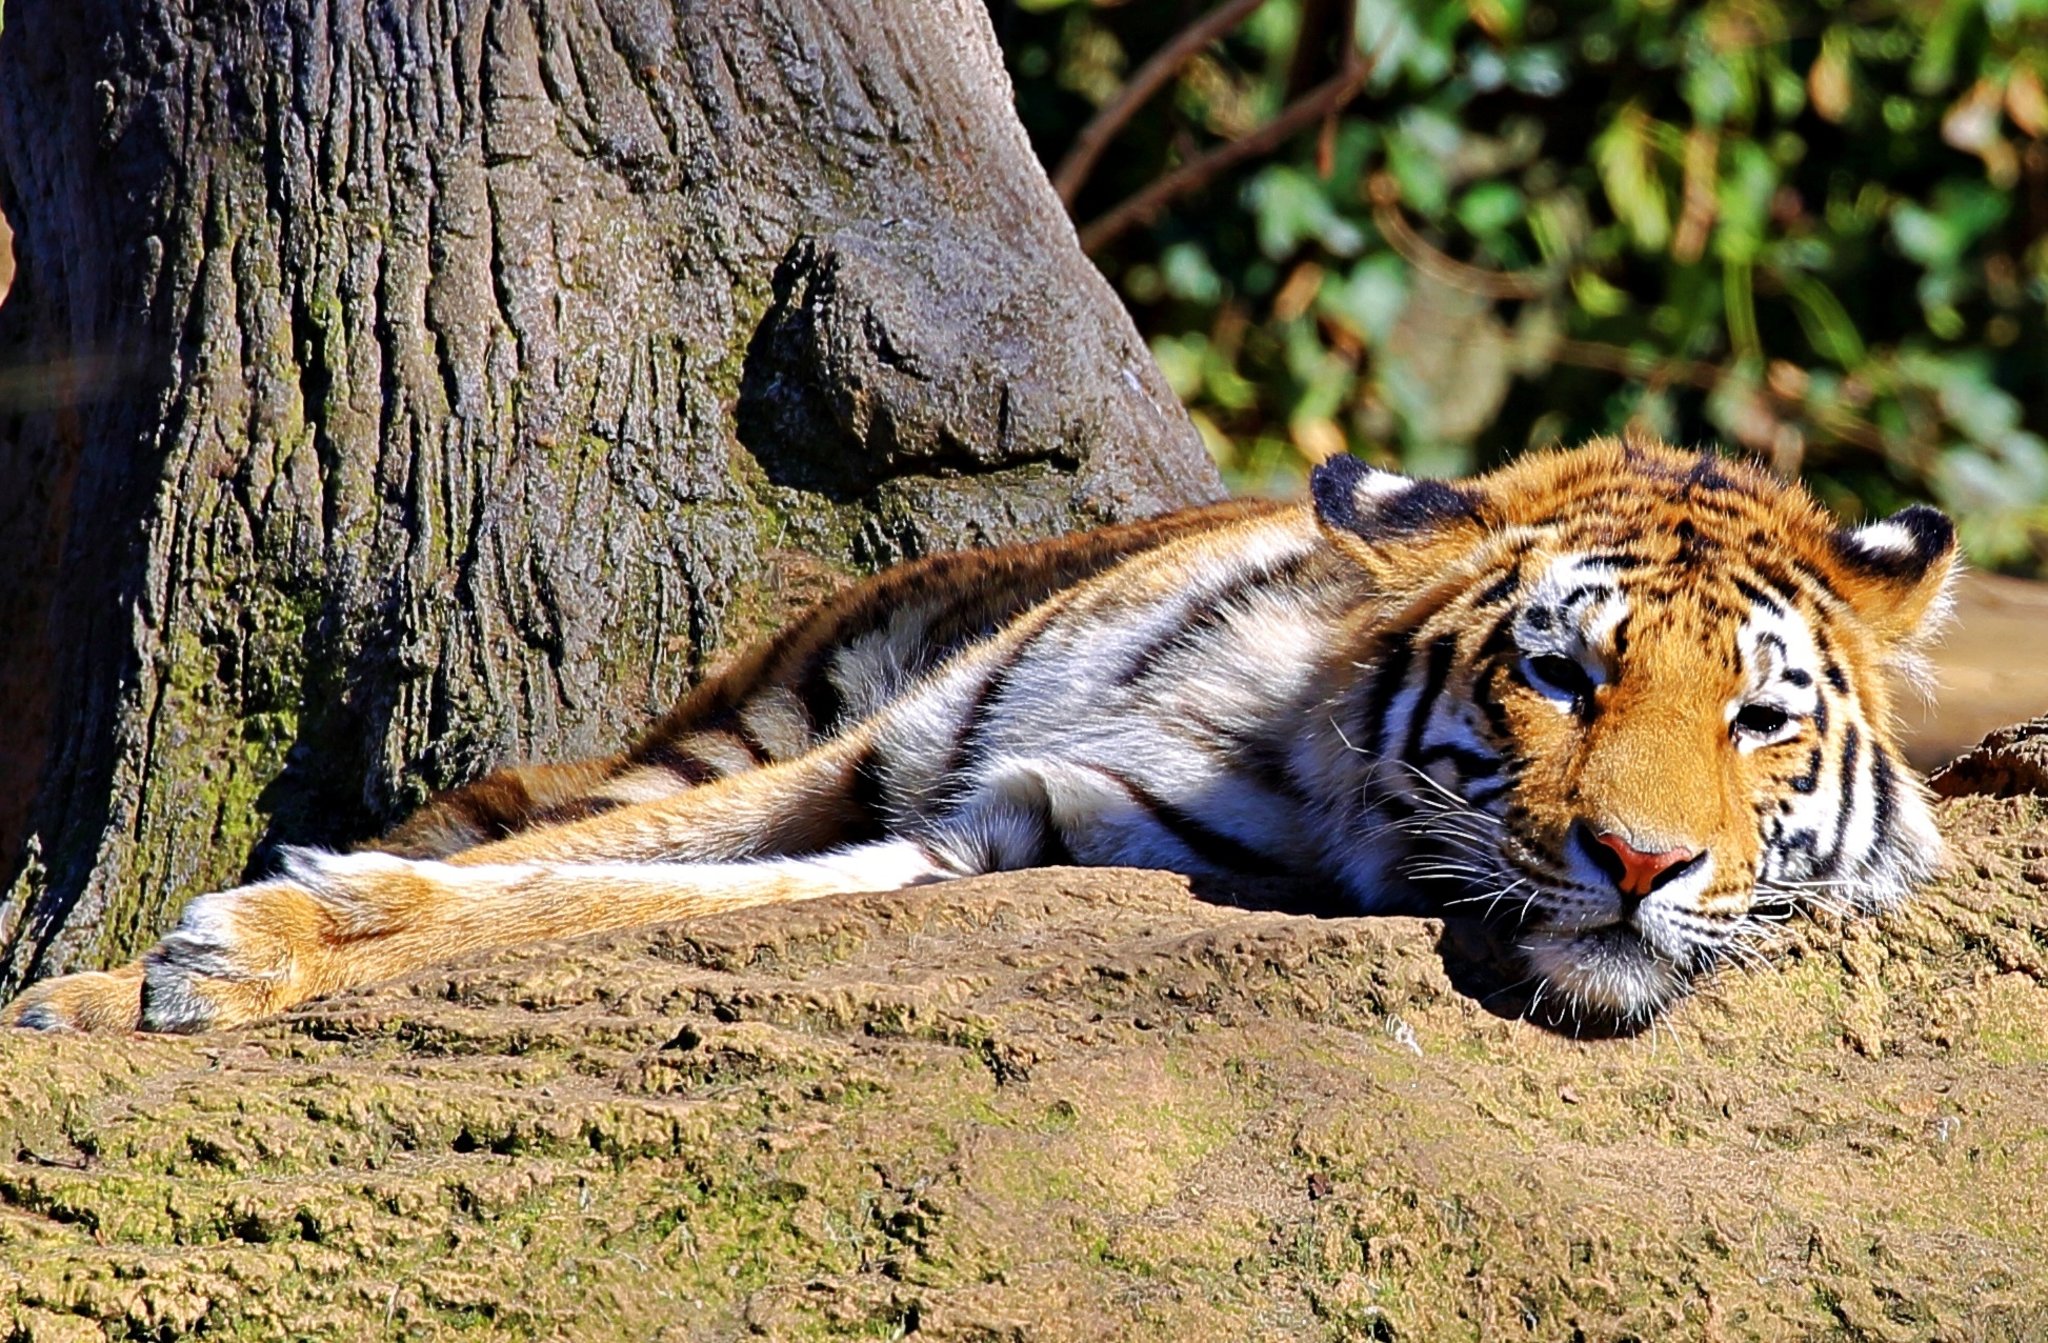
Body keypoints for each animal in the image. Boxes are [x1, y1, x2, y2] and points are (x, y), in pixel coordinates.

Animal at [2, 437, 1956, 1035]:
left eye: (1759, 720)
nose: (1642, 862)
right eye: (1560, 677)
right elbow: (549, 869)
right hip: (768, 707)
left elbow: (586, 901)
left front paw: (223, 949)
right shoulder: (875, 760)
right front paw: (144, 969)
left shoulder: (973, 836)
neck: (1284, 734)